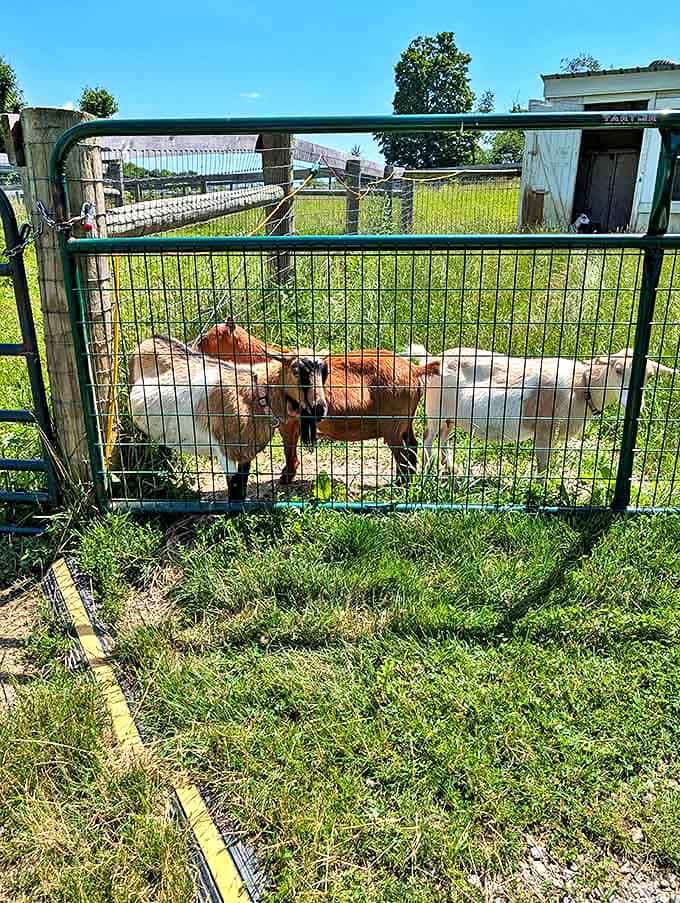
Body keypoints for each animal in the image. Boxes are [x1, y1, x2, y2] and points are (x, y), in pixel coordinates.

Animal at [128, 335, 328, 500]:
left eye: (324, 373)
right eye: (296, 371)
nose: (319, 409)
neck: (257, 394)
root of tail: (150, 339)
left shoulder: (246, 451)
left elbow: (243, 483)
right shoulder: (226, 450)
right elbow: (235, 490)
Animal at [198, 318, 440, 484]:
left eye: (205, 338)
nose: (193, 346)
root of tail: (415, 370)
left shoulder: (288, 421)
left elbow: (288, 448)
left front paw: (287, 476)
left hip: (392, 423)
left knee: (402, 454)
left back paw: (400, 483)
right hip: (405, 420)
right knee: (412, 446)